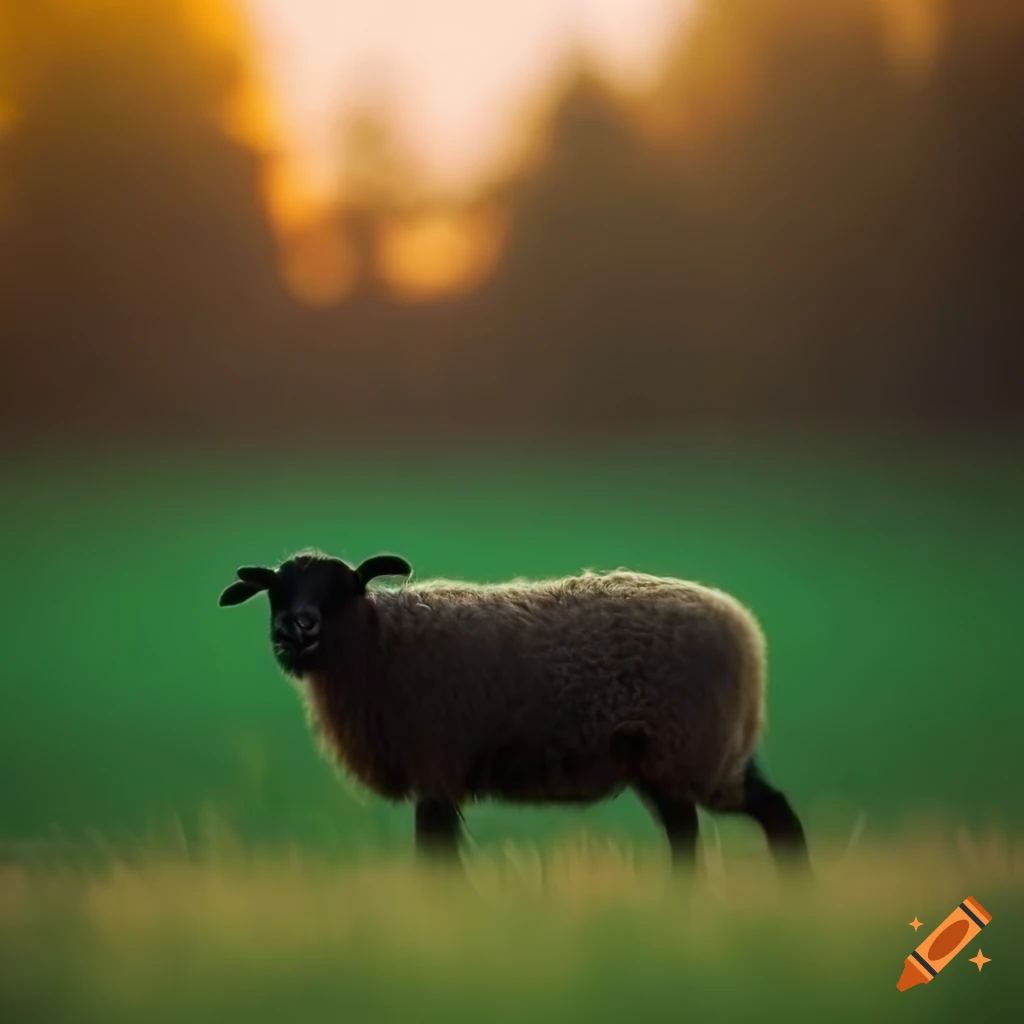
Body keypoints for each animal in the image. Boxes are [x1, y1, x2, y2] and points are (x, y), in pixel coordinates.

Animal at [218, 550, 810, 871]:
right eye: (276, 591)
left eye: (342, 587)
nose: (296, 626)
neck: (379, 643)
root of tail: (743, 628)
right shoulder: (438, 771)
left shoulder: (436, 765)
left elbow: (435, 858)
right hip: (682, 759)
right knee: (706, 831)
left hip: (691, 749)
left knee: (765, 815)